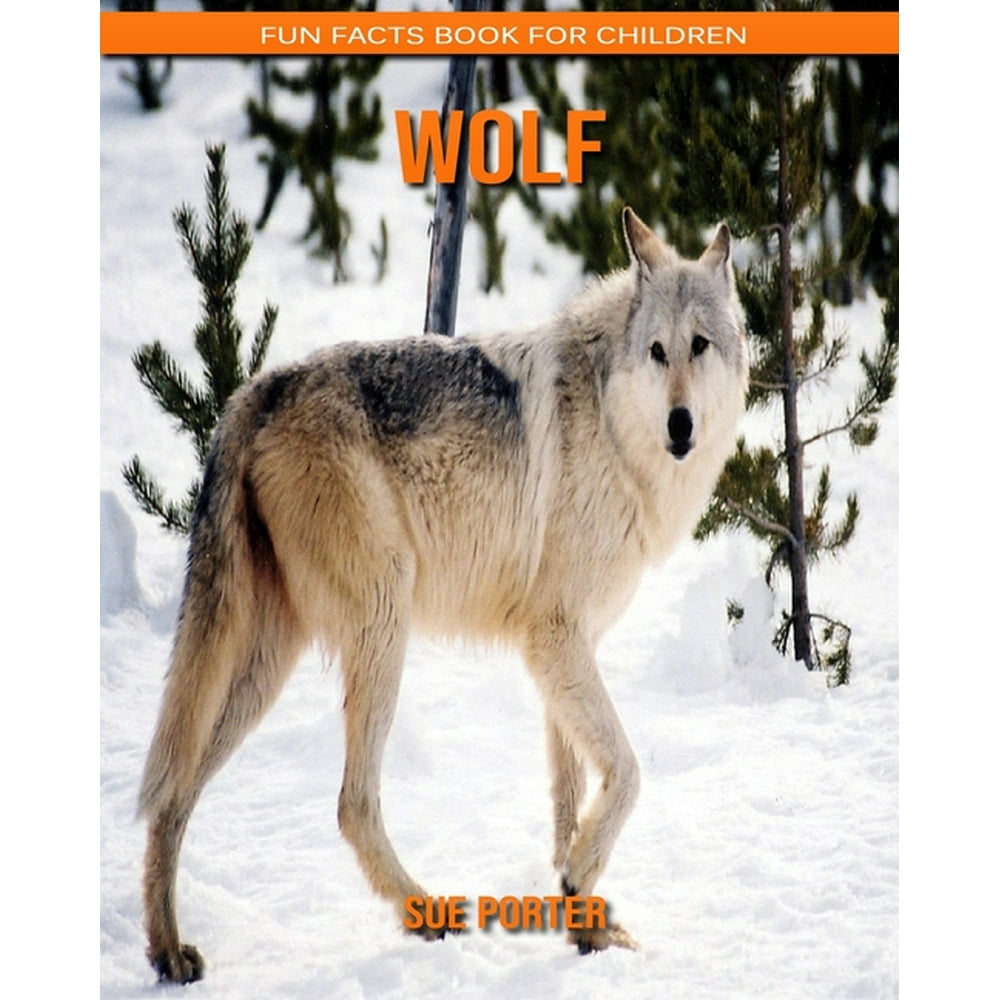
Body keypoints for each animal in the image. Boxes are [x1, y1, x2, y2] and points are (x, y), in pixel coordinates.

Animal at [137, 208, 748, 983]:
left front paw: (583, 922)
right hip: (381, 627)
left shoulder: (560, 650)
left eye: (700, 347)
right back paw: (425, 914)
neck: (612, 426)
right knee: (350, 803)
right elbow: (630, 773)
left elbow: (569, 797)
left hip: (267, 664)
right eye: (657, 352)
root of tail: (253, 391)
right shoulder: (554, 638)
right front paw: (582, 884)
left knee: (173, 792)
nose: (680, 426)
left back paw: (166, 949)